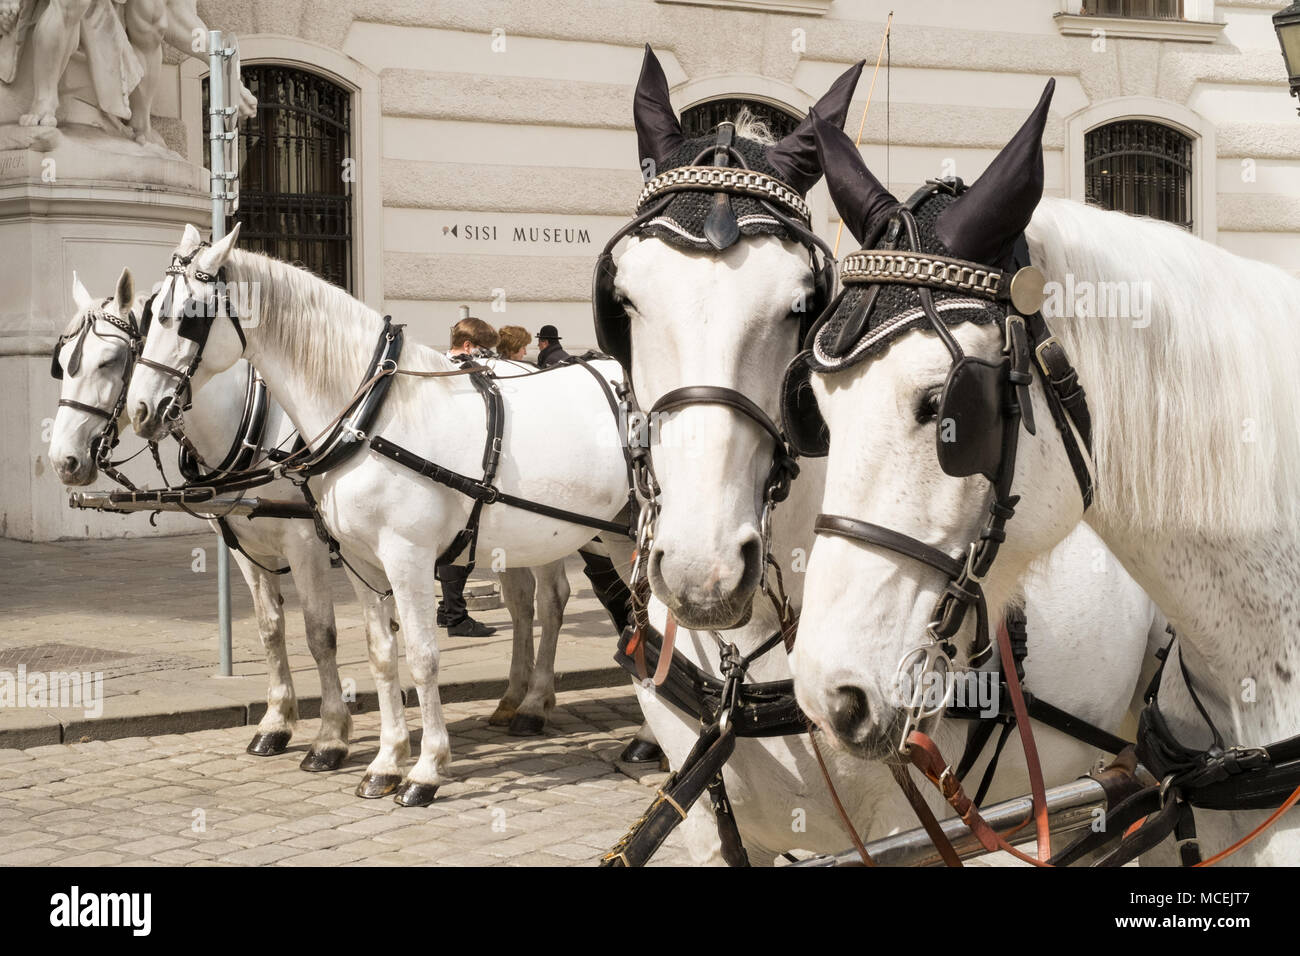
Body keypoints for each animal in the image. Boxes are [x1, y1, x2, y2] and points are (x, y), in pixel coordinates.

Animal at [125, 227, 638, 806]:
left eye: (189, 315)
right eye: (147, 315)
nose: (140, 409)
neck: (370, 416)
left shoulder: (405, 556)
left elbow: (421, 655)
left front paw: (426, 769)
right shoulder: (359, 560)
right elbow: (380, 653)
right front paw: (386, 761)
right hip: (607, 536)